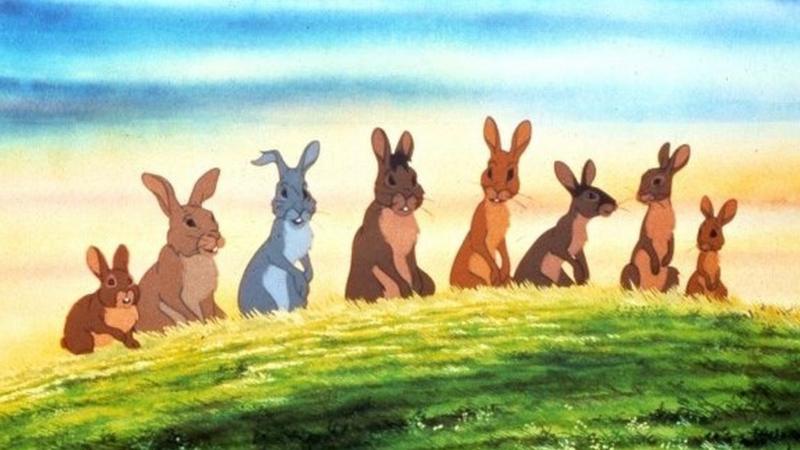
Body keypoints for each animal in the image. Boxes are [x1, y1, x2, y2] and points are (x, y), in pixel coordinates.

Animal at [137, 168, 227, 332]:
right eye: (189, 222)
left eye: (211, 216)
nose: (216, 237)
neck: (194, 256)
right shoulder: (170, 290)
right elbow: (182, 308)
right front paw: (198, 325)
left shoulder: (207, 296)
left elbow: (208, 312)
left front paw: (209, 326)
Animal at [238, 141, 320, 314]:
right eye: (283, 192)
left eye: (305, 192)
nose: (300, 210)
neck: (296, 228)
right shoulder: (275, 250)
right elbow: (283, 262)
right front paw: (303, 281)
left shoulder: (303, 251)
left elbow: (307, 262)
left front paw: (308, 277)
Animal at [345, 128, 435, 302]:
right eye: (390, 180)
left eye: (414, 178)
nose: (407, 194)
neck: (398, 218)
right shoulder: (382, 251)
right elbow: (393, 272)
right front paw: (408, 293)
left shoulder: (410, 252)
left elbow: (412, 269)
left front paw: (416, 291)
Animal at [450, 116, 532, 288]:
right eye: (489, 171)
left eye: (511, 174)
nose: (497, 190)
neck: (496, 205)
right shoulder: (479, 229)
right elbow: (481, 248)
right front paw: (496, 274)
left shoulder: (501, 238)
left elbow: (504, 254)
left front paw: (503, 272)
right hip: (473, 278)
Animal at [620, 142, 691, 292]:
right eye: (642, 177)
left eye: (657, 181)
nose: (639, 196)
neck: (660, 208)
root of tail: (649, 289)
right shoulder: (646, 236)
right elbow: (648, 247)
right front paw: (655, 267)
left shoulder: (670, 234)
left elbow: (671, 247)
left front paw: (664, 261)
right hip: (630, 270)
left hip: (671, 272)